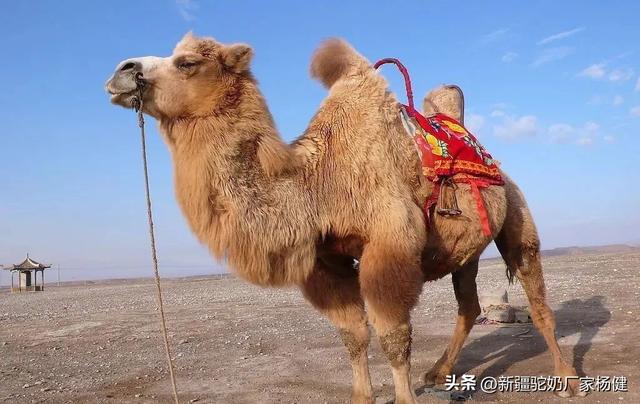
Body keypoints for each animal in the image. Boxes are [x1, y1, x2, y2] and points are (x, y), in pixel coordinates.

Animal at [105, 33, 583, 403]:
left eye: (187, 62)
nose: (122, 70)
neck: (318, 182)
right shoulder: (325, 259)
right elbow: (353, 334)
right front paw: (362, 395)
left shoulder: (388, 243)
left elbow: (392, 335)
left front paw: (404, 396)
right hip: (463, 249)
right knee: (469, 305)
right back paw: (437, 373)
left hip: (516, 215)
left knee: (536, 295)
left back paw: (567, 379)